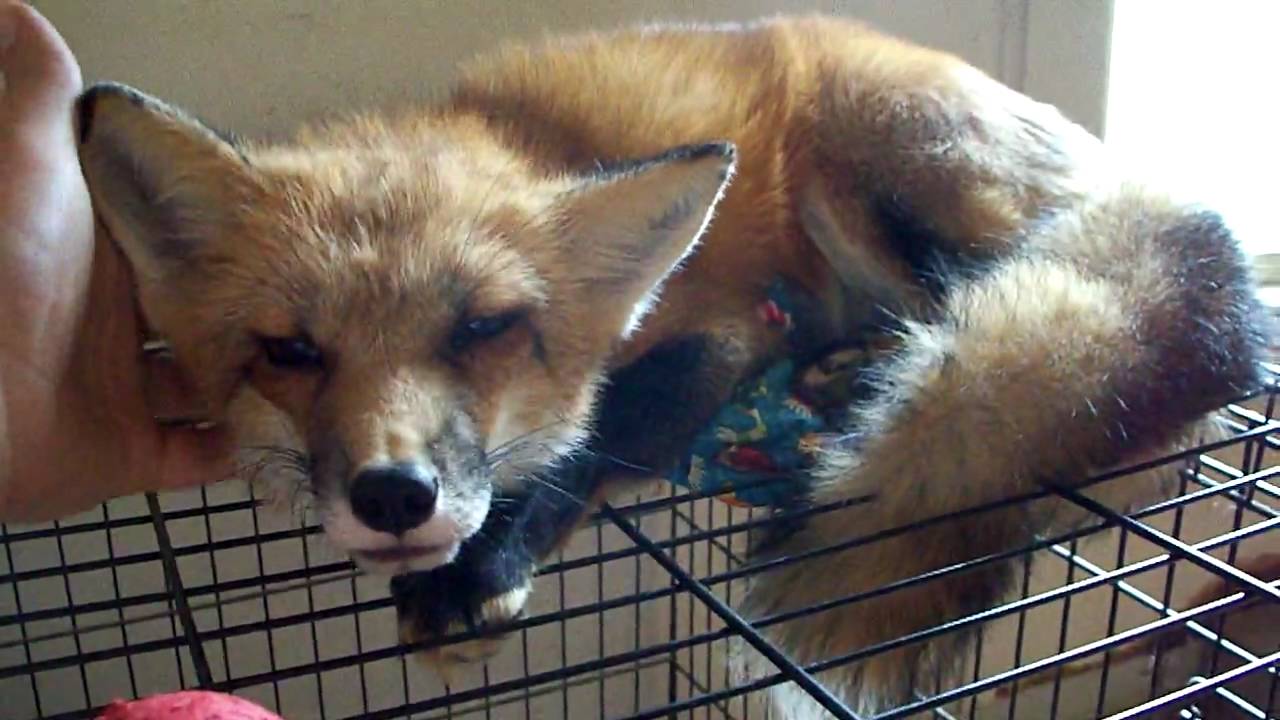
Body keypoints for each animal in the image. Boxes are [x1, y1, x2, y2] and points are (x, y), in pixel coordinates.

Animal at [74, 14, 1266, 716]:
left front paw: (480, 569)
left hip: (868, 165)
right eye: (290, 352)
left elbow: (599, 437)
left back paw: (859, 370)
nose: (395, 496)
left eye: (484, 330)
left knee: (963, 300)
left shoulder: (727, 327)